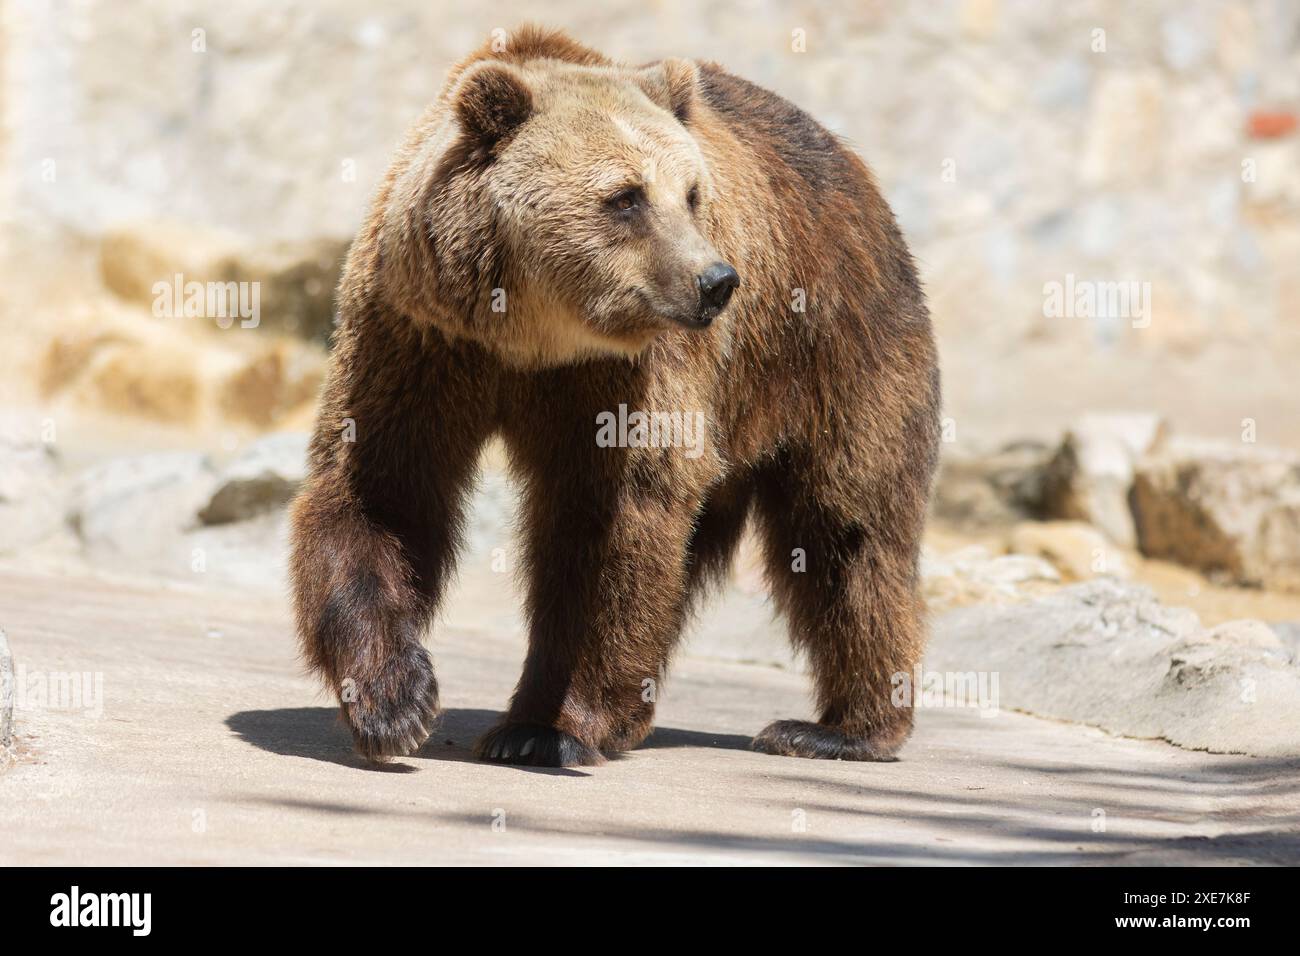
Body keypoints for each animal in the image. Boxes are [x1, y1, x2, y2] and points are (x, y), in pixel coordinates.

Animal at [289, 25, 941, 767]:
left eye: (692, 194)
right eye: (626, 196)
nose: (716, 281)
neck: (532, 336)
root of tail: (856, 172)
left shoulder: (629, 376)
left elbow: (612, 521)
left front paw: (549, 727)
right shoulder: (422, 337)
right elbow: (383, 490)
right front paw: (395, 701)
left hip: (835, 348)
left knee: (846, 528)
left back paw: (837, 727)